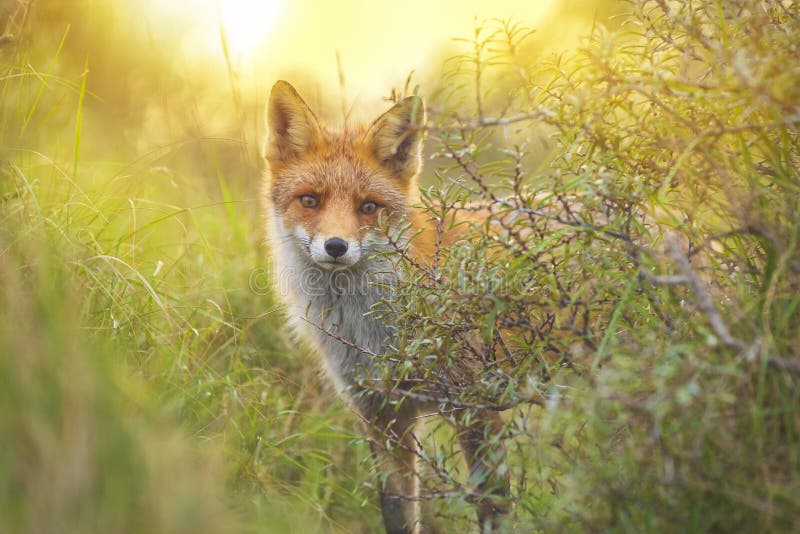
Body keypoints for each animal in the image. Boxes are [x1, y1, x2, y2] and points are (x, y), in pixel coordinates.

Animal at [263, 80, 510, 534]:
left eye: (368, 207)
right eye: (310, 200)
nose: (336, 246)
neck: (368, 328)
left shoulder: (477, 408)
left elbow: (494, 509)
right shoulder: (381, 412)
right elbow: (397, 511)